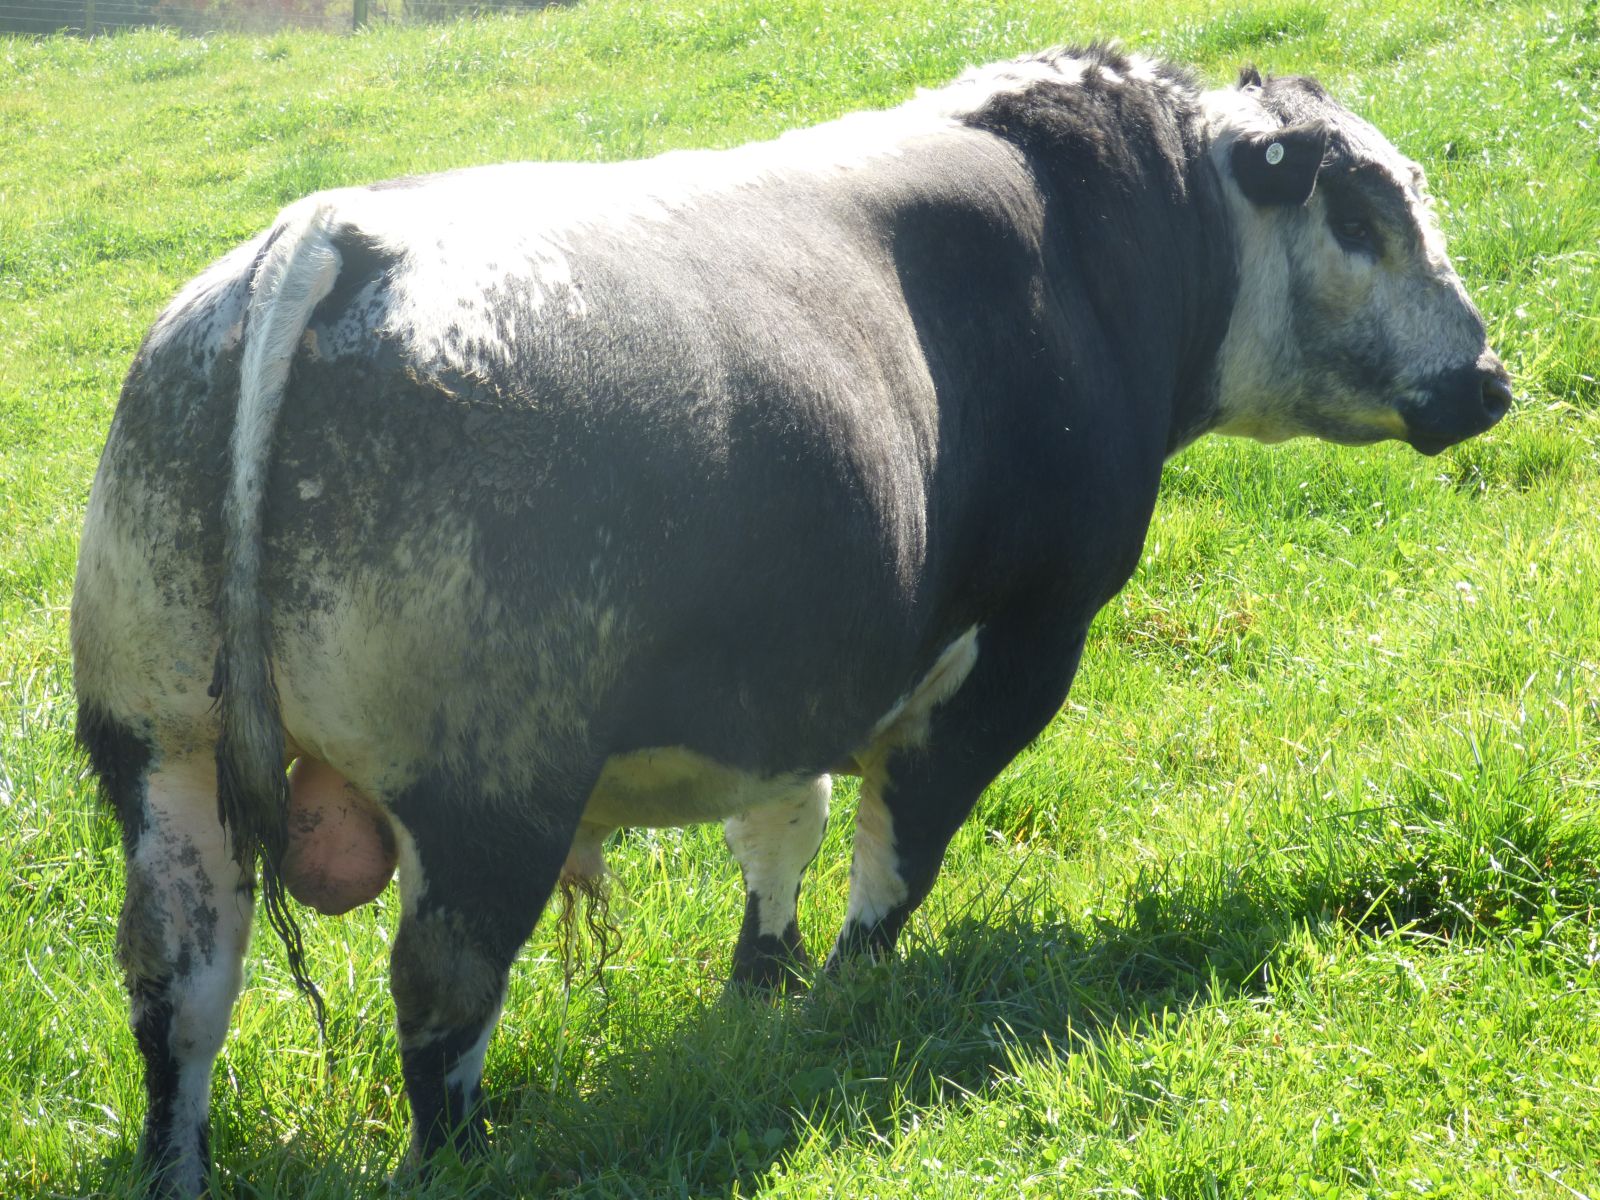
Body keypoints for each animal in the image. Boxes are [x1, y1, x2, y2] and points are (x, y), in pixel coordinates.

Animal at [72, 44, 1511, 1196]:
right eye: (1362, 215)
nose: (1491, 377)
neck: (1090, 245)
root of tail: (335, 235)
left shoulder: (791, 673)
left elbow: (785, 827)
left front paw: (764, 985)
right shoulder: (1020, 640)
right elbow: (901, 831)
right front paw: (854, 984)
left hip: (163, 758)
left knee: (178, 996)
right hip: (489, 794)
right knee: (440, 1000)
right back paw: (466, 1159)